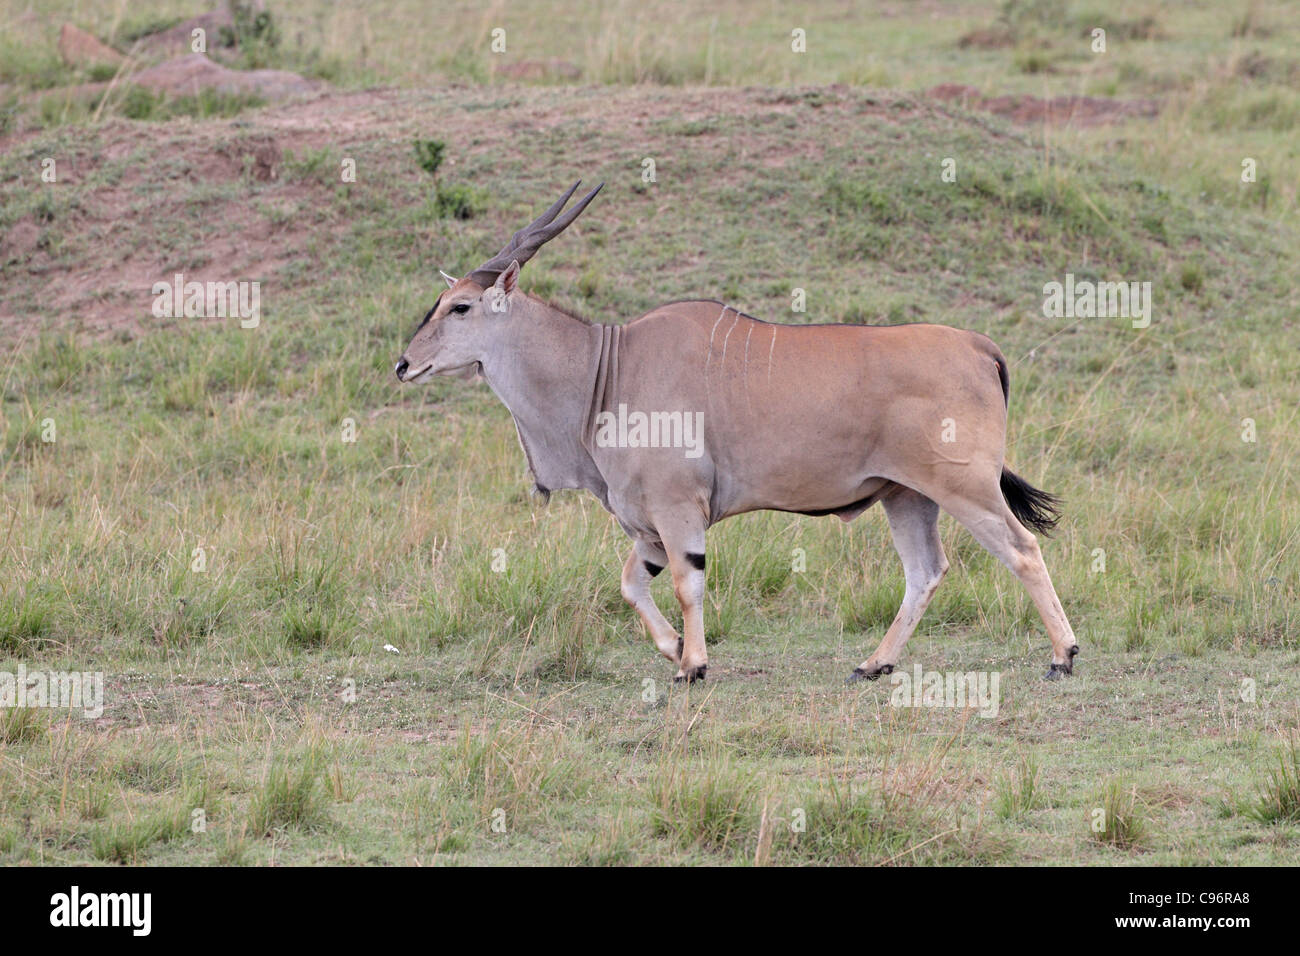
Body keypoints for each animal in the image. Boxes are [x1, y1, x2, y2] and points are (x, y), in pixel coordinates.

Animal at [395, 182, 1079, 684]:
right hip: (906, 496)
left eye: (460, 307)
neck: (604, 368)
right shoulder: (647, 524)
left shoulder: (677, 510)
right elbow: (631, 585)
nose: (403, 365)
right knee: (926, 571)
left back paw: (1062, 656)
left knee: (1021, 549)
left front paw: (692, 665)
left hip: (965, 488)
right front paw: (674, 651)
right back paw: (873, 664)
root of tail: (977, 345)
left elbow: (685, 582)